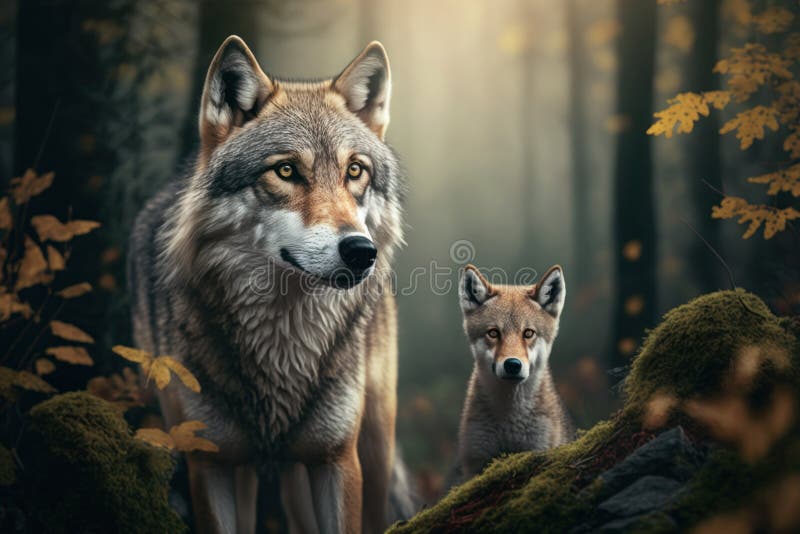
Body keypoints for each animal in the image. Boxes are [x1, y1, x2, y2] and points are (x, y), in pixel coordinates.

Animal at [127, 36, 413, 534]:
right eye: (285, 171)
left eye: (355, 171)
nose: (361, 251)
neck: (283, 348)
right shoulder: (212, 465)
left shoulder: (336, 460)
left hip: (369, 447)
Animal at [456, 265, 574, 480]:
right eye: (493, 333)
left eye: (528, 333)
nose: (512, 364)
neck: (509, 423)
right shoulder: (475, 465)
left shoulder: (537, 451)